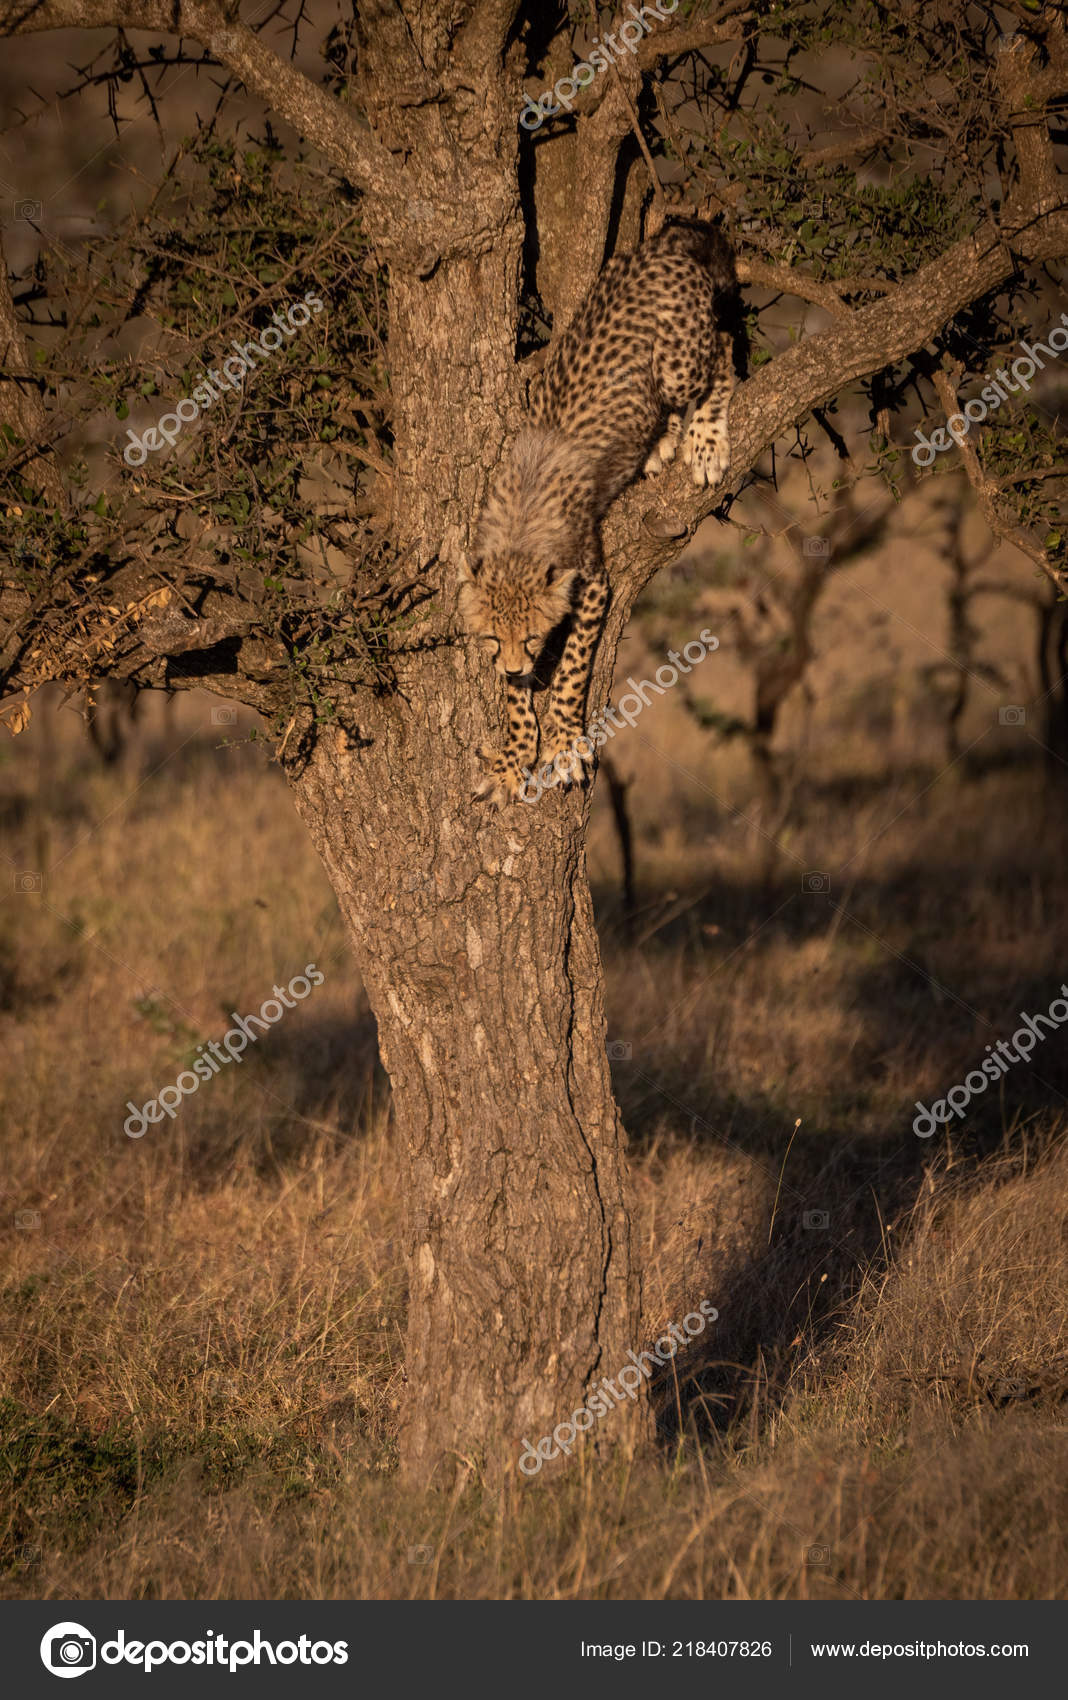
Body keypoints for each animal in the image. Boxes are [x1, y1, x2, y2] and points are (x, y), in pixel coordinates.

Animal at [459, 216, 736, 809]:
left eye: (533, 637)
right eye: (492, 637)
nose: (515, 666)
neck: (518, 531)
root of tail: (658, 245)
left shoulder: (590, 582)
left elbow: (570, 670)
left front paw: (563, 743)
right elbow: (517, 704)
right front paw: (514, 758)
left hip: (679, 360)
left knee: (722, 352)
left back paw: (703, 440)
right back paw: (661, 442)